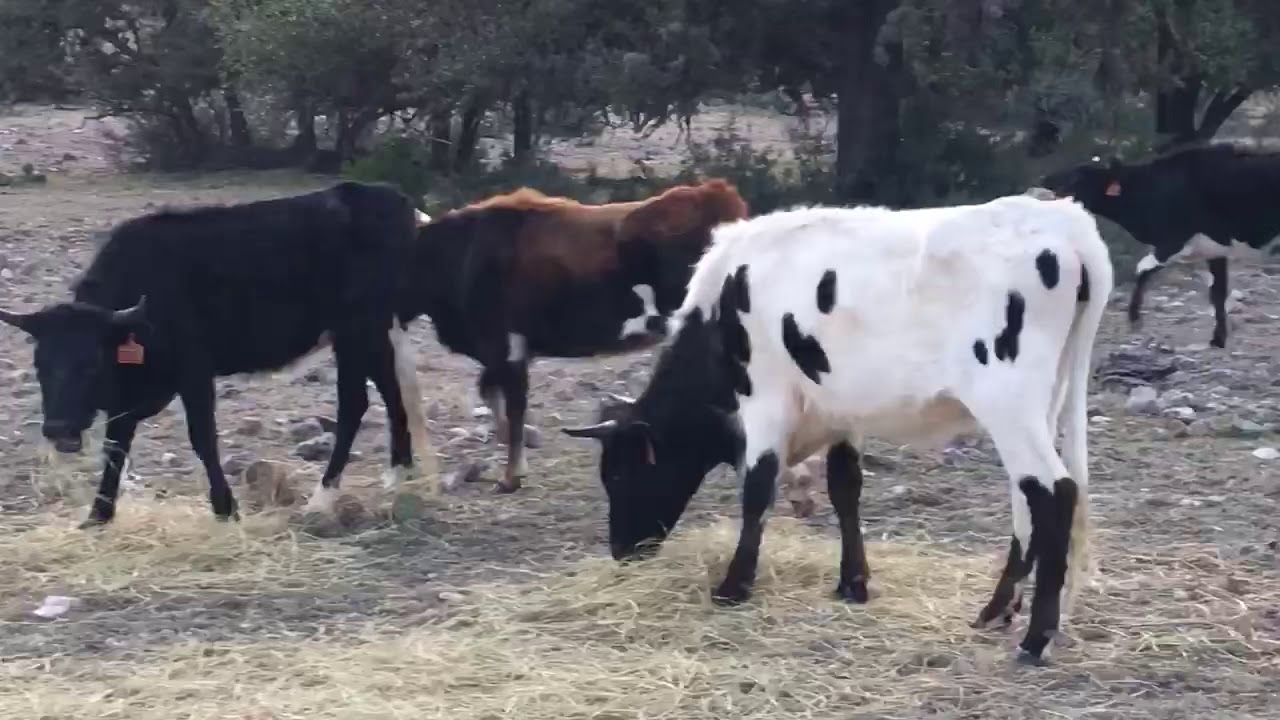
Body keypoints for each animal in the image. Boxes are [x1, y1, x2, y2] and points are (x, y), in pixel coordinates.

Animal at [0, 181, 438, 526]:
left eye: (90, 363)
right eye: (40, 365)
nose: (57, 428)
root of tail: (388, 197)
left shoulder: (194, 371)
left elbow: (202, 439)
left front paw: (226, 509)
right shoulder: (129, 391)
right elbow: (116, 445)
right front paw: (98, 516)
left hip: (356, 331)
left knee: (355, 404)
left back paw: (323, 498)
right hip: (372, 334)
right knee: (391, 392)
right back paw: (400, 473)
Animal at [564, 194, 1114, 664]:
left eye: (619, 475)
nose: (621, 551)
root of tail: (1066, 221)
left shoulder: (765, 399)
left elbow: (757, 490)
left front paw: (734, 587)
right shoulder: (843, 409)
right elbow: (845, 487)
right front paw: (853, 583)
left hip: (1008, 400)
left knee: (1055, 492)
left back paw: (1036, 637)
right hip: (1042, 402)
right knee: (1029, 497)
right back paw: (997, 611)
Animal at [1040, 143, 1280, 348]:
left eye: (1077, 180)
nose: (1046, 183)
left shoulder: (1173, 241)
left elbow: (1143, 269)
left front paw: (1134, 319)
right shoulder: (1215, 249)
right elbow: (1218, 293)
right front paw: (1218, 339)